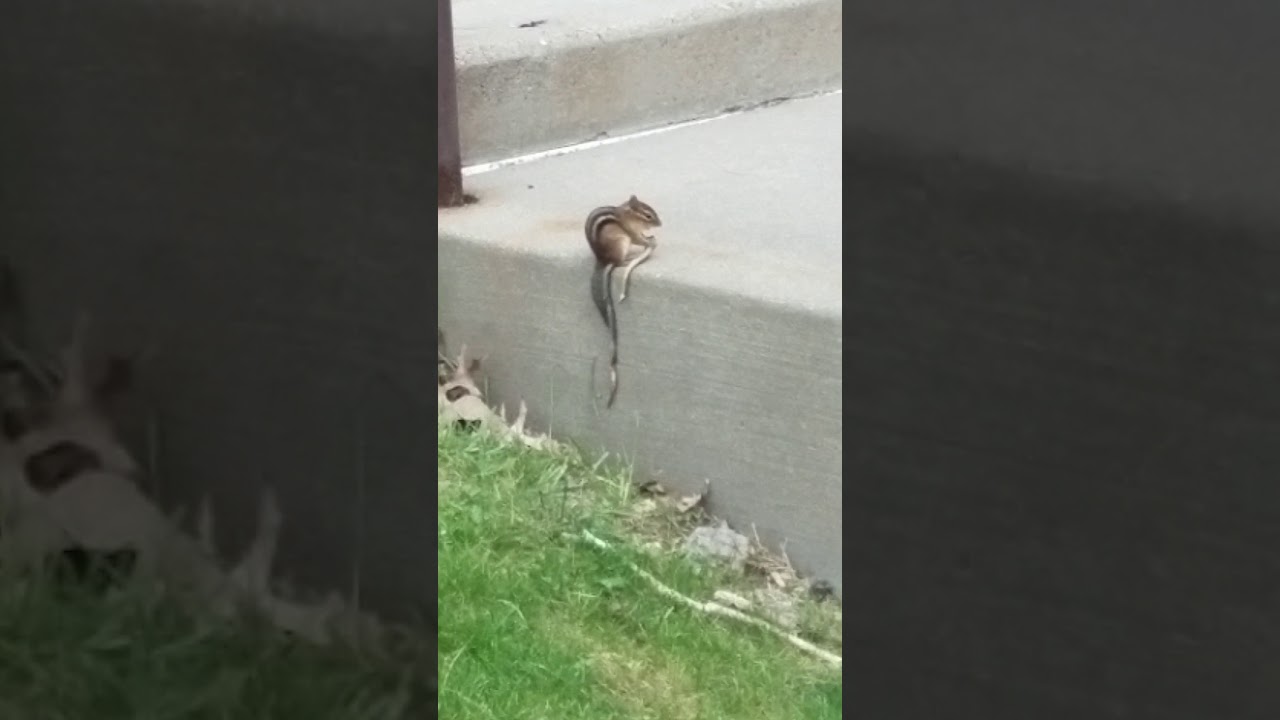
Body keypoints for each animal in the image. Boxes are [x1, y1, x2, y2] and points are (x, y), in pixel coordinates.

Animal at [584, 196, 662, 408]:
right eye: (648, 215)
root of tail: (603, 261)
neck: (628, 214)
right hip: (621, 242)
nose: (660, 224)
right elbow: (638, 238)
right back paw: (628, 258)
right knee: (619, 262)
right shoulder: (631, 231)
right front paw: (648, 239)